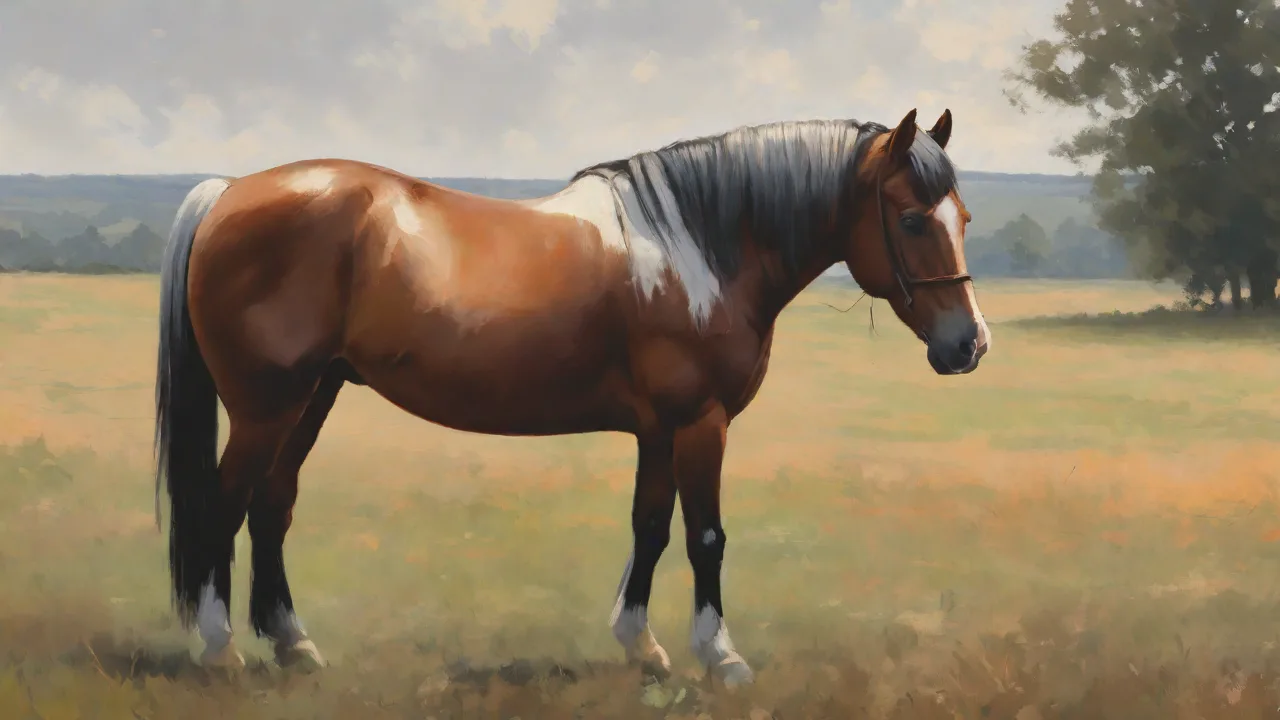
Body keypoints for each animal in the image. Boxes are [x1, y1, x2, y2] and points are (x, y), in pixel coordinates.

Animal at [153, 108, 990, 686]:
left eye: (964, 217)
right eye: (912, 218)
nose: (969, 345)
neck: (699, 247)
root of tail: (229, 193)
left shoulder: (659, 429)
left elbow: (651, 527)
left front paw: (642, 647)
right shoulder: (701, 423)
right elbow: (706, 536)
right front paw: (721, 658)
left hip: (312, 396)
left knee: (271, 507)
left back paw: (295, 645)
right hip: (266, 406)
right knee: (224, 506)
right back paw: (221, 650)